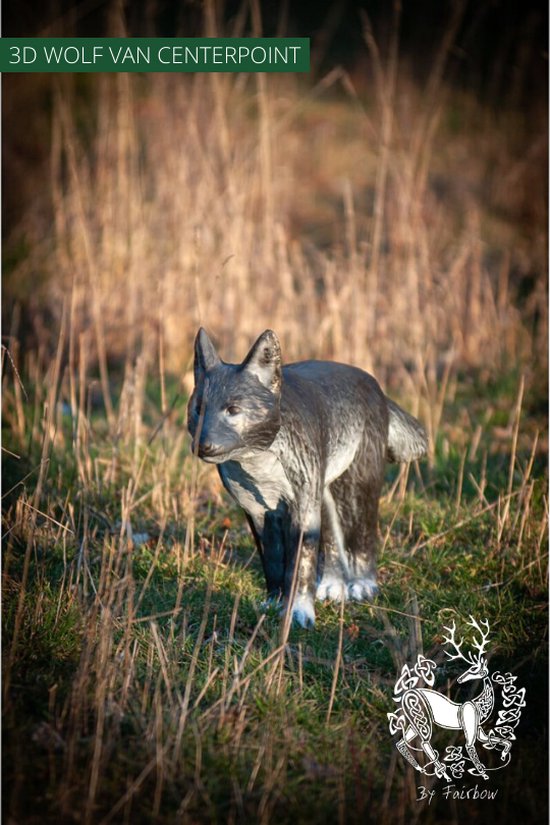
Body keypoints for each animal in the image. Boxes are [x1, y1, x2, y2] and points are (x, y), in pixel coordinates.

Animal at [188, 328, 428, 628]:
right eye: (199, 408)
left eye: (233, 410)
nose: (203, 446)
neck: (260, 463)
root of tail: (374, 383)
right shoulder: (258, 512)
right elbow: (274, 564)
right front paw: (275, 603)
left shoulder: (301, 509)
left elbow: (300, 567)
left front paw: (299, 611)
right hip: (325, 495)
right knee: (334, 544)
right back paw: (332, 586)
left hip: (355, 491)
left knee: (363, 538)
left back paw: (362, 584)